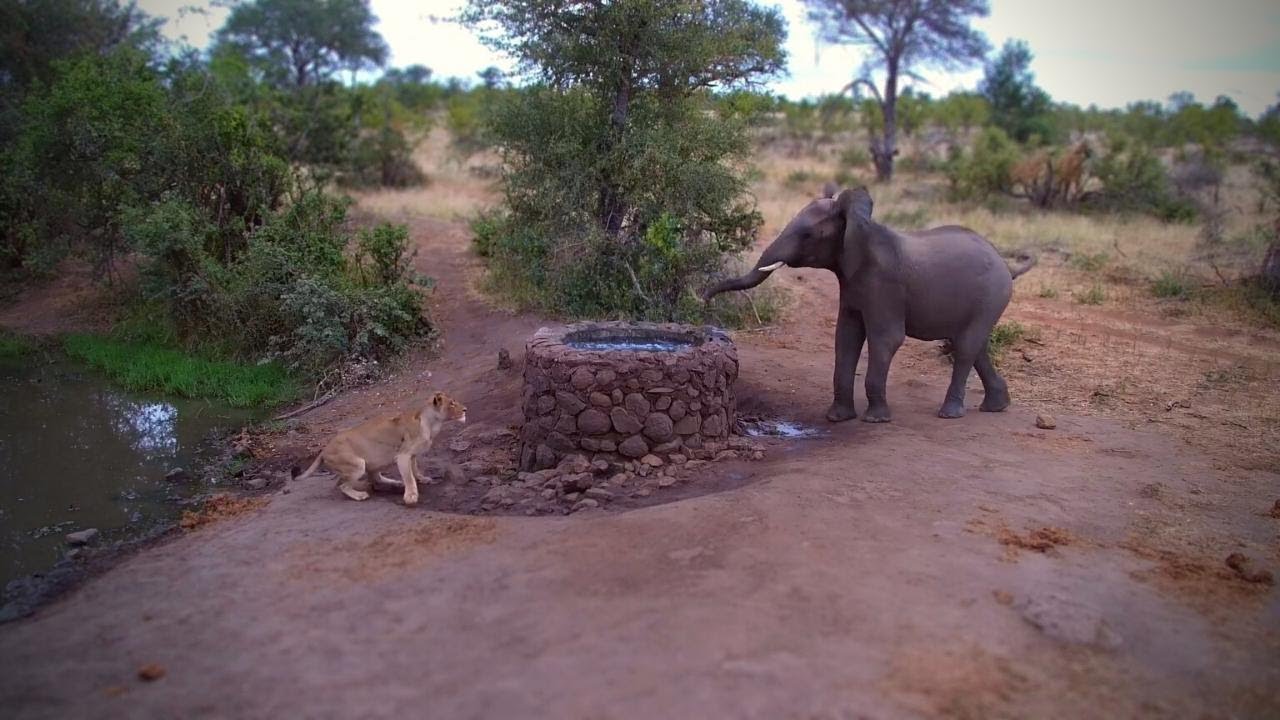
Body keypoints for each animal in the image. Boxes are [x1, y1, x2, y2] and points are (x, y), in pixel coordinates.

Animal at [293, 392, 467, 505]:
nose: (465, 409)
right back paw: (360, 495)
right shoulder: (403, 455)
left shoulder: (412, 455)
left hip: (377, 461)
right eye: (452, 403)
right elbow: (409, 477)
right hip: (358, 464)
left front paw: (422, 479)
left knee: (375, 478)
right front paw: (411, 496)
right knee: (342, 485)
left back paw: (396, 483)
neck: (432, 425)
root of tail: (323, 450)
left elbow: (415, 470)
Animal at [703, 186, 1035, 423]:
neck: (858, 225)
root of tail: (1007, 265)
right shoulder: (851, 287)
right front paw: (837, 418)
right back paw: (996, 407)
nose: (704, 300)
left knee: (965, 347)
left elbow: (885, 339)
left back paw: (950, 414)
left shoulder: (884, 286)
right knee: (973, 346)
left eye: (808, 234)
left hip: (992, 294)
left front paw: (875, 420)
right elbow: (846, 338)